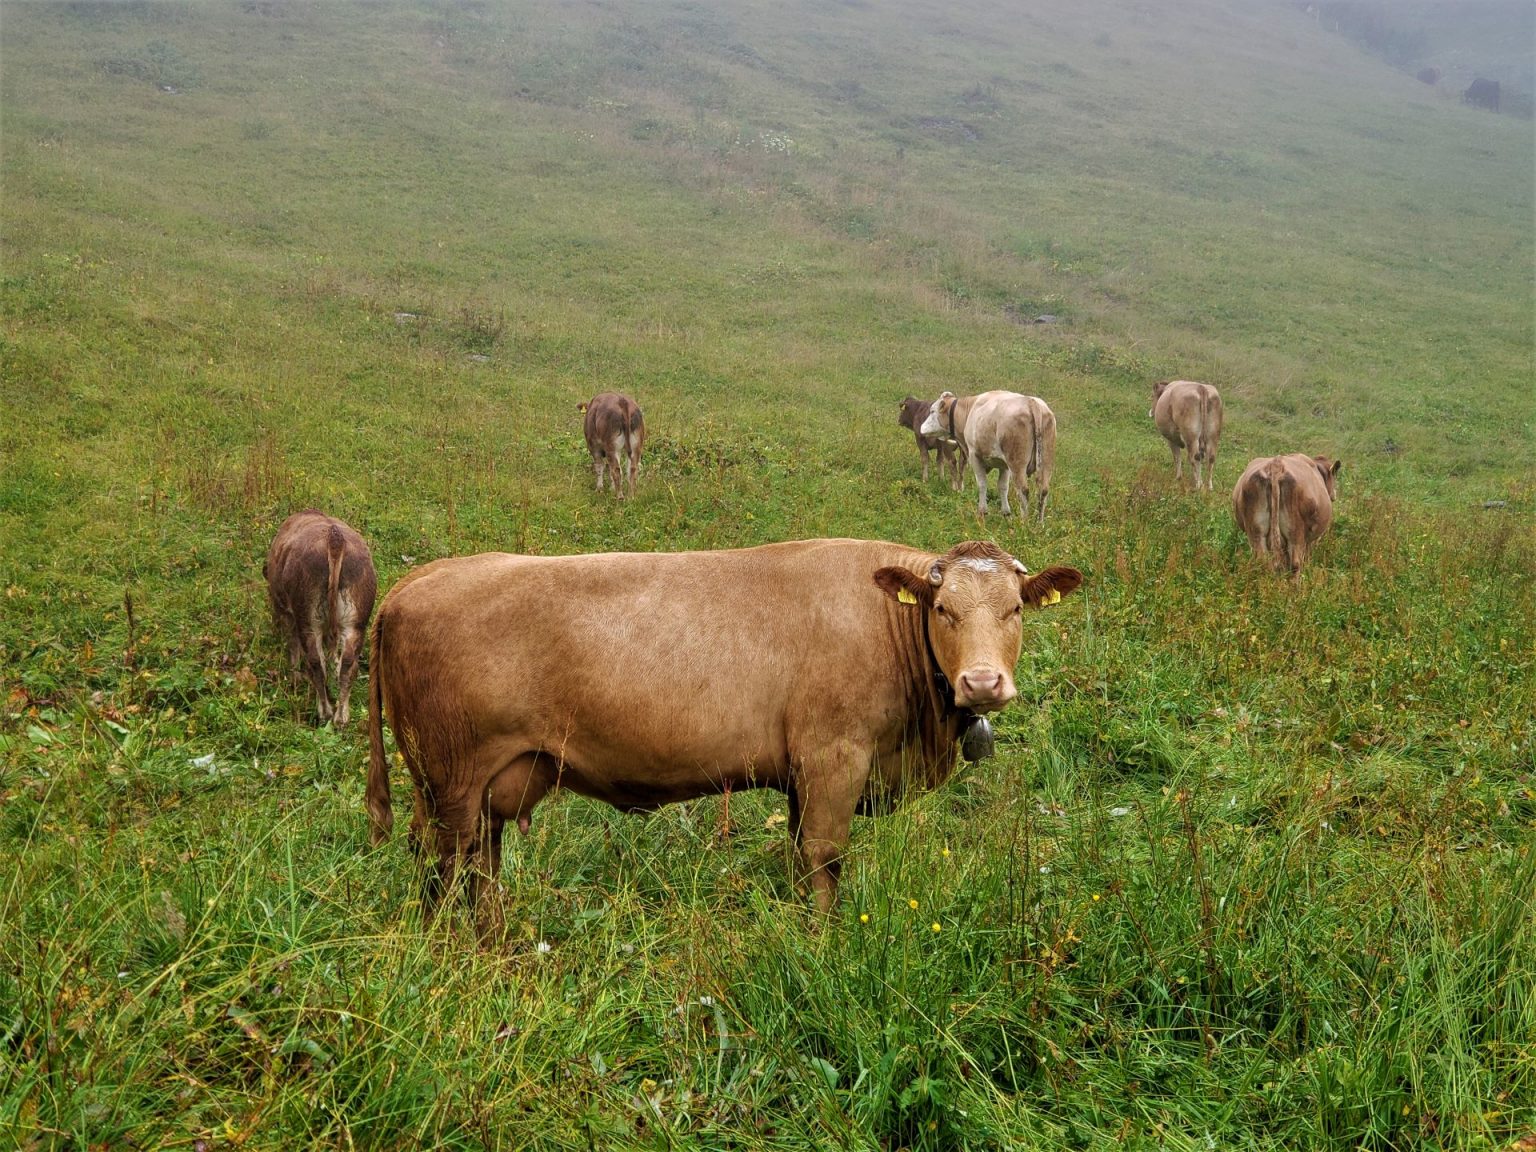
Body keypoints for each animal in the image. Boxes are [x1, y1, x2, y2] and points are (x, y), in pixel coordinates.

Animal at [263, 510, 377, 726]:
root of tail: (334, 538)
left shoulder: (287, 614)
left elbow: (294, 646)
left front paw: (294, 676)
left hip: (309, 621)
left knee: (316, 663)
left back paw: (325, 712)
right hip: (356, 623)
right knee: (348, 665)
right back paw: (341, 716)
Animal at [365, 539, 1083, 931]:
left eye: (1014, 609)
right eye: (943, 609)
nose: (983, 683)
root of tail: (422, 577)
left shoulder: (802, 774)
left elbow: (798, 855)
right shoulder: (835, 755)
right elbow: (826, 857)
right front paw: (824, 942)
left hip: (484, 781)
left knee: (477, 864)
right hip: (451, 780)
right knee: (445, 864)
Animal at [920, 390, 1056, 524]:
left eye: (932, 411)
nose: (921, 427)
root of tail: (1031, 402)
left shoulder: (975, 456)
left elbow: (982, 484)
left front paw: (982, 511)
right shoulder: (1004, 465)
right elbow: (1003, 486)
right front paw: (1006, 513)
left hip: (1016, 463)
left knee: (1023, 490)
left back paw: (1024, 524)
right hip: (1046, 461)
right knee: (1043, 491)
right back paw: (1039, 523)